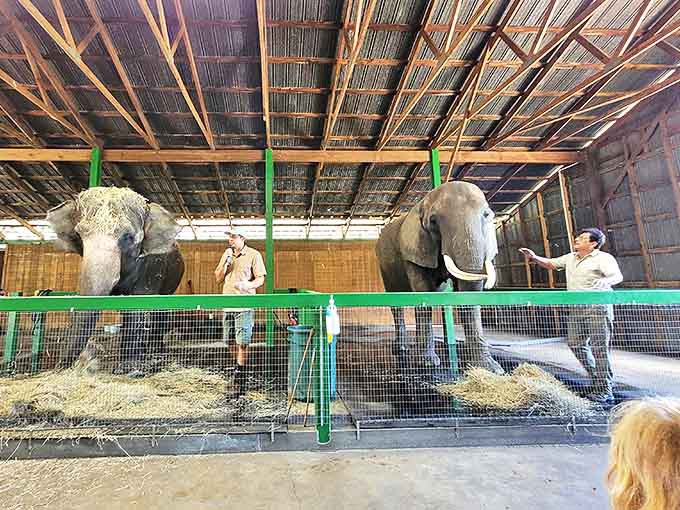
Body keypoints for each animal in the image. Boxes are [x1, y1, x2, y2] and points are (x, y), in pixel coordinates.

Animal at [47, 187, 185, 373]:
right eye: (78, 234)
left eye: (128, 237)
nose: (61, 367)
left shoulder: (152, 265)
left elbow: (137, 305)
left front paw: (129, 369)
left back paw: (155, 354)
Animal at [375, 181, 503, 374]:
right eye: (433, 222)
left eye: (487, 215)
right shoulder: (414, 249)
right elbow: (423, 293)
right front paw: (427, 364)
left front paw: (489, 369)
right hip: (385, 265)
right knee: (395, 301)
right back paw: (401, 349)